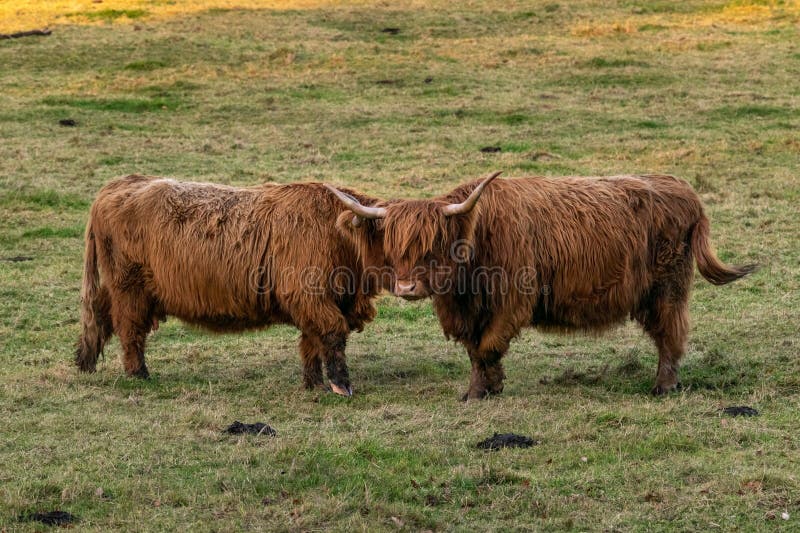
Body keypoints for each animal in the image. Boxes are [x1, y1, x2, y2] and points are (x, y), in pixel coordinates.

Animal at [75, 174, 386, 396]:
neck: (337, 234)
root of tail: (120, 183)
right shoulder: (312, 297)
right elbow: (331, 333)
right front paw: (341, 384)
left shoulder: (316, 301)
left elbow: (312, 340)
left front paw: (314, 383)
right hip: (130, 288)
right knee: (129, 329)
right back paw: (138, 374)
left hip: (120, 287)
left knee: (100, 313)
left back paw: (84, 360)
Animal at [326, 172, 756, 399]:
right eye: (394, 246)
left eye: (432, 245)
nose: (407, 288)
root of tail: (683, 189)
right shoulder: (468, 311)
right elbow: (475, 351)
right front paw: (481, 390)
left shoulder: (514, 299)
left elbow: (488, 345)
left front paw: (485, 389)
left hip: (667, 289)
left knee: (670, 334)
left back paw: (663, 386)